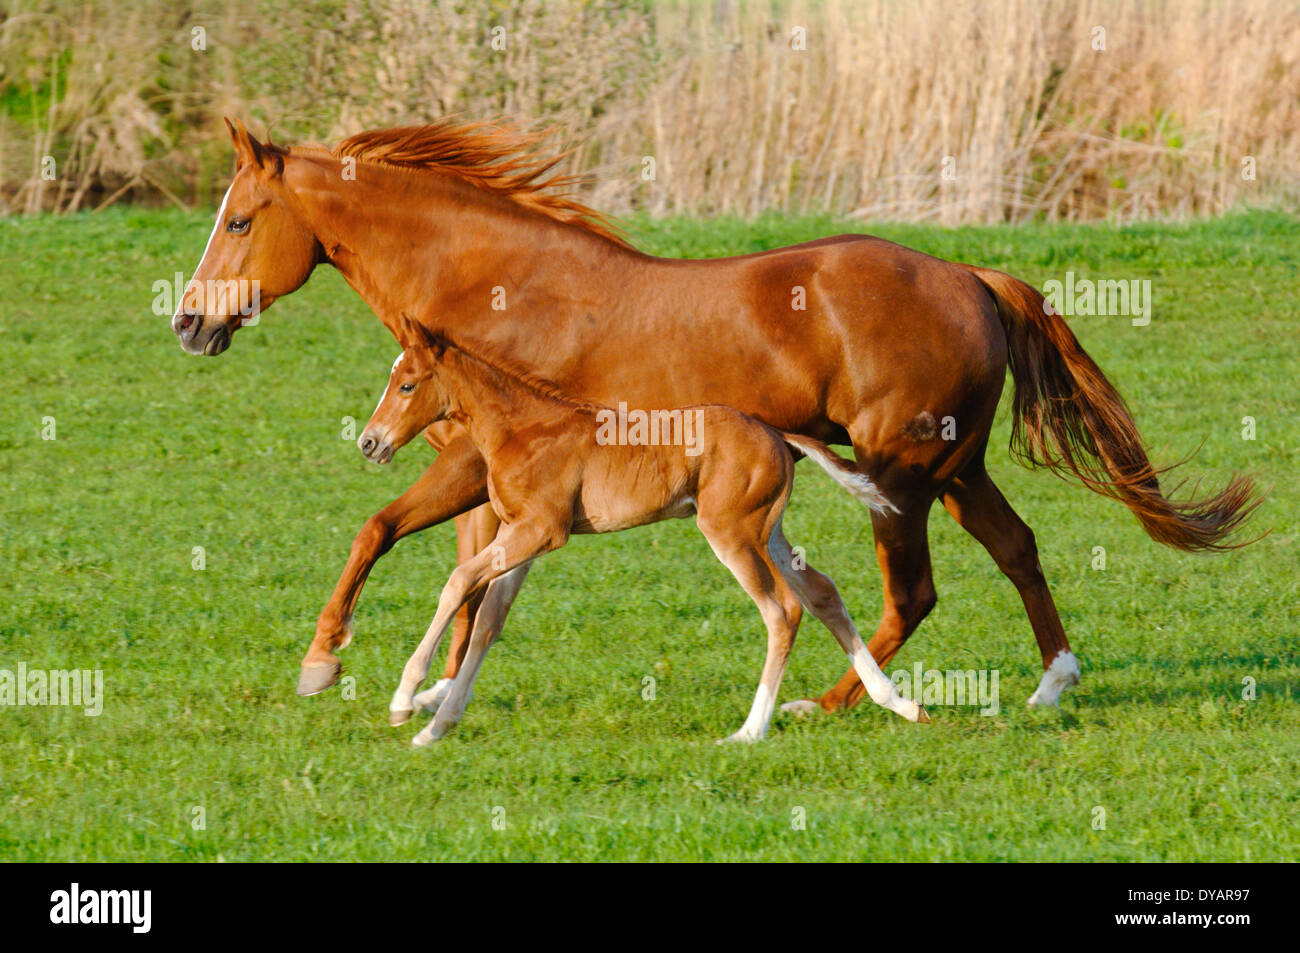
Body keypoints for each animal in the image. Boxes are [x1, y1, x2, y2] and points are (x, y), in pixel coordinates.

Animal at [358, 316, 929, 743]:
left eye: (406, 384)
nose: (369, 442)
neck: (523, 428)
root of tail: (775, 433)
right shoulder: (520, 537)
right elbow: (488, 622)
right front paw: (437, 727)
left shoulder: (541, 530)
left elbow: (457, 583)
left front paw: (405, 700)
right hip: (768, 531)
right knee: (822, 593)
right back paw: (899, 703)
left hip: (730, 532)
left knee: (782, 610)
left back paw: (749, 732)